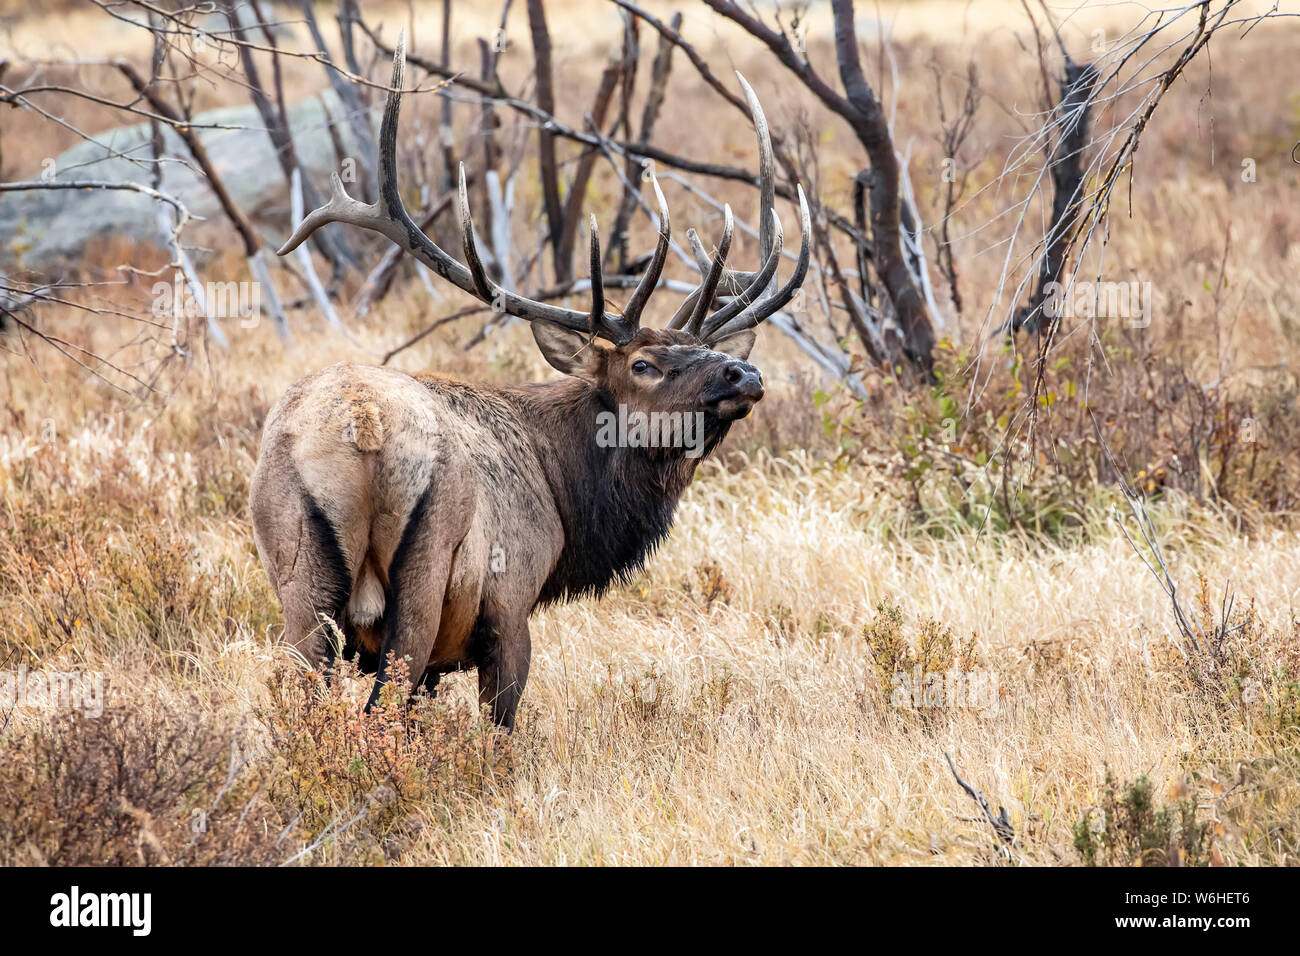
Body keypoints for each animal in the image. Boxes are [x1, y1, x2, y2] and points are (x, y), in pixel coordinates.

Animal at [250, 32, 809, 730]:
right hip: (424, 574)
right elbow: (501, 726)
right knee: (382, 708)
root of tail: (360, 430)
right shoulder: (509, 605)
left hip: (298, 575)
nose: (745, 372)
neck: (568, 501)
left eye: (705, 348)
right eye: (643, 365)